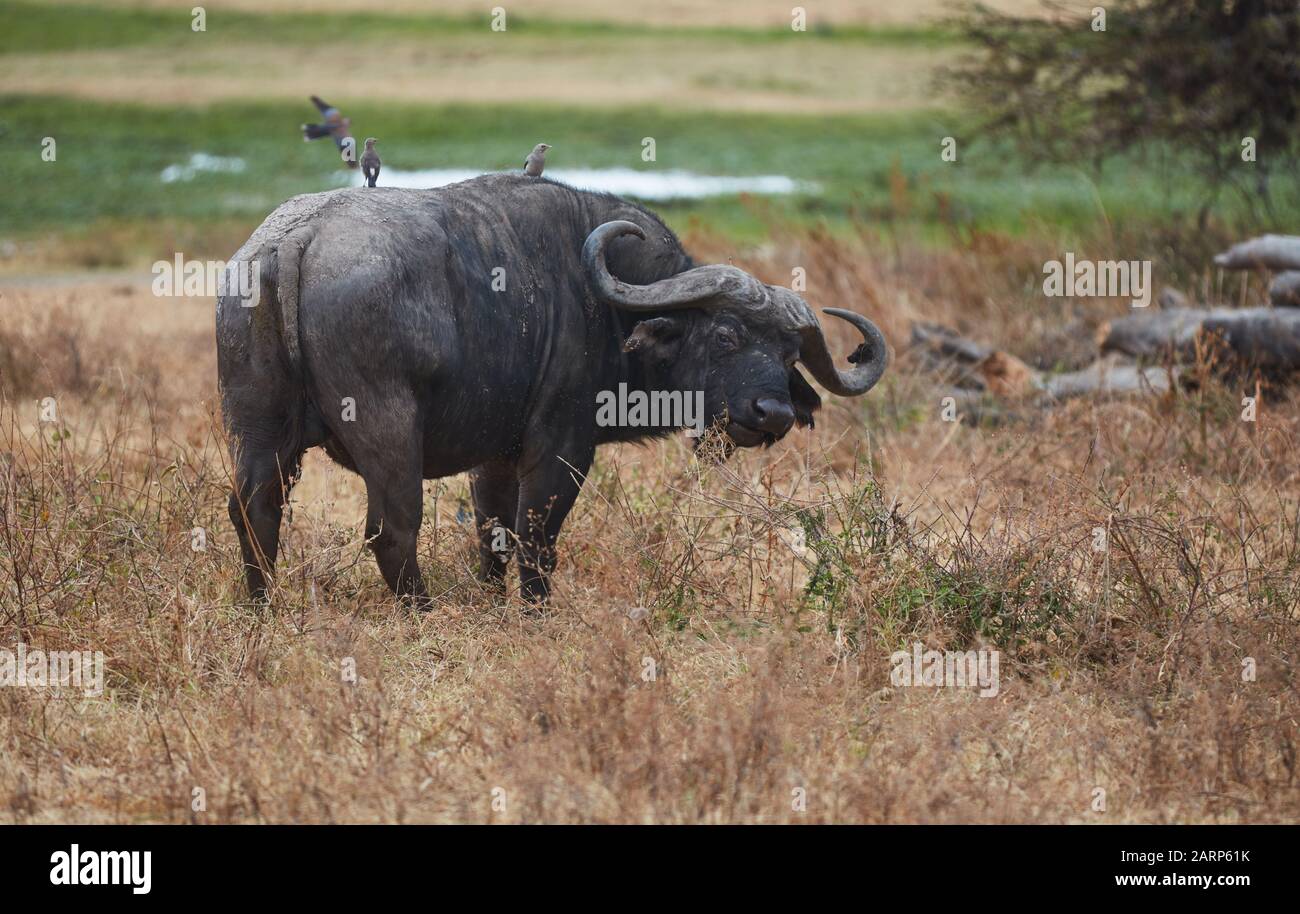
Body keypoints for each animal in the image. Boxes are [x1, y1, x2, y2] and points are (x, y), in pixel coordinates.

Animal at [216, 174, 887, 605]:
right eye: (726, 335)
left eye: (788, 354)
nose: (772, 411)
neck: (607, 309)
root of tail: (298, 240)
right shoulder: (560, 447)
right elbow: (537, 538)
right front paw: (534, 611)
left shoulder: (493, 456)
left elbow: (492, 530)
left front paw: (492, 600)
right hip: (387, 430)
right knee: (393, 527)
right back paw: (421, 610)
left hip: (257, 429)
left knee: (255, 510)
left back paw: (263, 605)